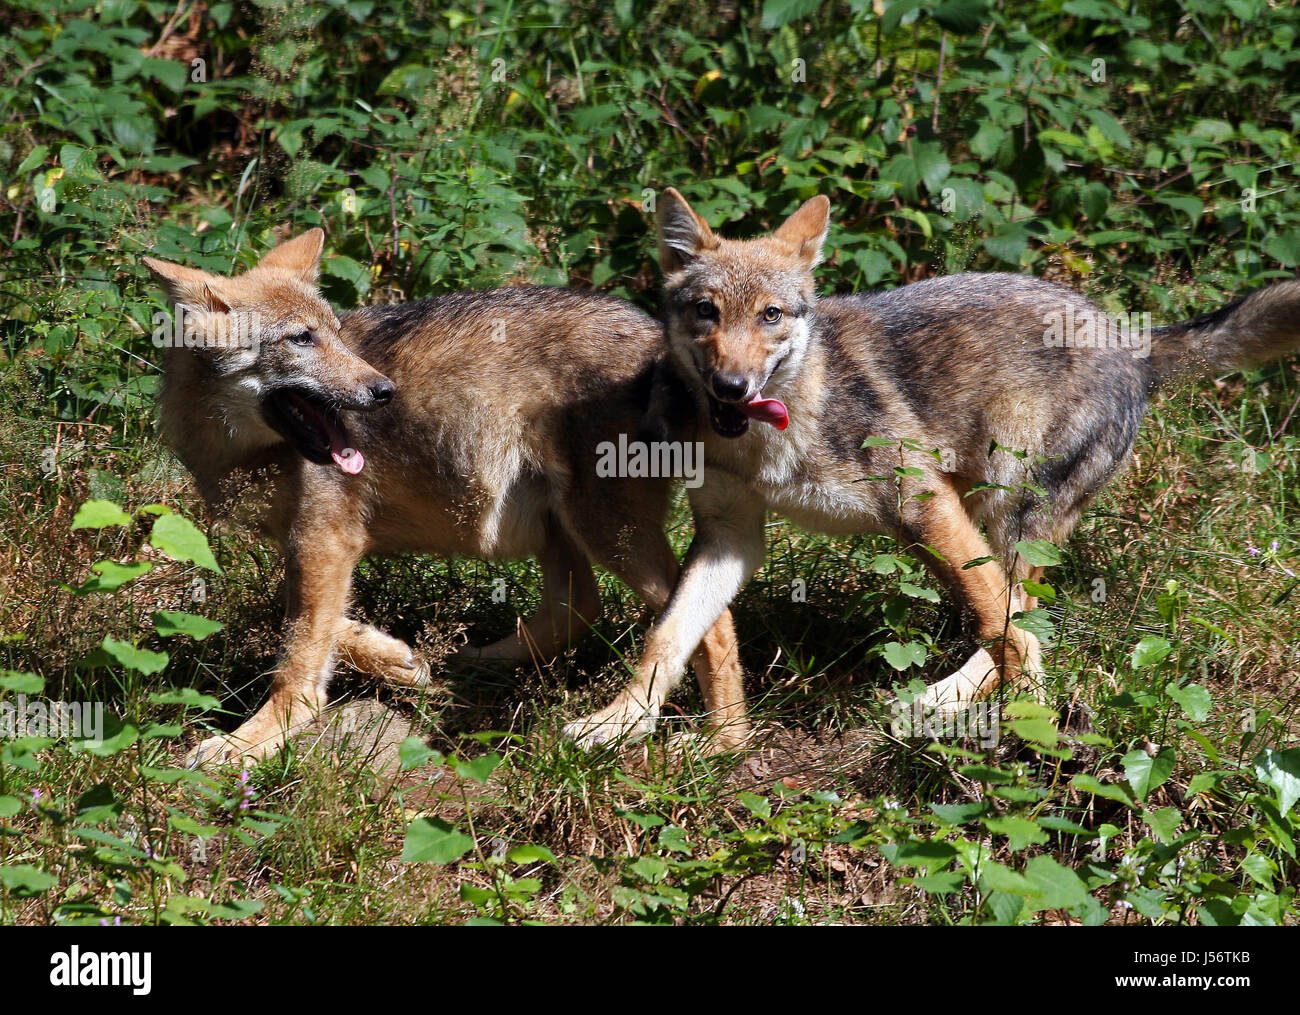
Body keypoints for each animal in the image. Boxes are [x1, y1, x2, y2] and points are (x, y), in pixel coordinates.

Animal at [144, 227, 745, 764]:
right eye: (301, 338)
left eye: (333, 333)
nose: (383, 391)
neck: (235, 451)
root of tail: (662, 343)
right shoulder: (315, 547)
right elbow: (310, 625)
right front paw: (393, 658)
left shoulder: (325, 541)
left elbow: (296, 657)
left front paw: (253, 740)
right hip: (556, 524)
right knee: (577, 608)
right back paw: (474, 662)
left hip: (602, 529)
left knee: (705, 623)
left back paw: (723, 744)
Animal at [563, 187, 1300, 747]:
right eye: (706, 312)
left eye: (770, 316)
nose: (732, 386)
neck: (777, 435)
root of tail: (1135, 338)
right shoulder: (730, 537)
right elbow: (668, 638)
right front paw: (637, 726)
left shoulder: (919, 504)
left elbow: (1002, 625)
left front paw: (1032, 721)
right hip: (979, 513)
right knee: (1024, 612)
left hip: (1002, 511)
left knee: (1022, 614)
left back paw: (949, 701)